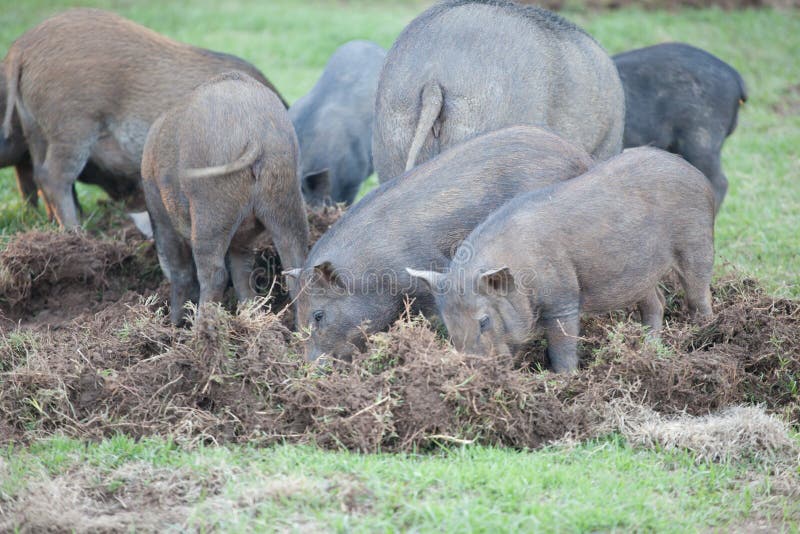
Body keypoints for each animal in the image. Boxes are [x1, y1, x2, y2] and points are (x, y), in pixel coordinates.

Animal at [2, 8, 286, 229]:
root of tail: (21, 48)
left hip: (35, 129)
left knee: (36, 174)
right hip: (73, 125)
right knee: (53, 177)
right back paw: (77, 231)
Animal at [141, 71, 308, 325]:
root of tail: (253, 133)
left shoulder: (161, 216)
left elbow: (179, 270)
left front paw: (174, 325)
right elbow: (242, 269)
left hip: (211, 208)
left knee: (214, 273)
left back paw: (199, 330)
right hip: (285, 195)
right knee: (294, 265)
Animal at [408, 147, 715, 373]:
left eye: (484, 321)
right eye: (450, 327)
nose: (472, 370)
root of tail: (696, 173)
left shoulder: (562, 298)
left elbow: (562, 344)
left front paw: (564, 377)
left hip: (697, 243)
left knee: (699, 295)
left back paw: (705, 333)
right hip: (640, 273)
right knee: (656, 304)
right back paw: (649, 348)